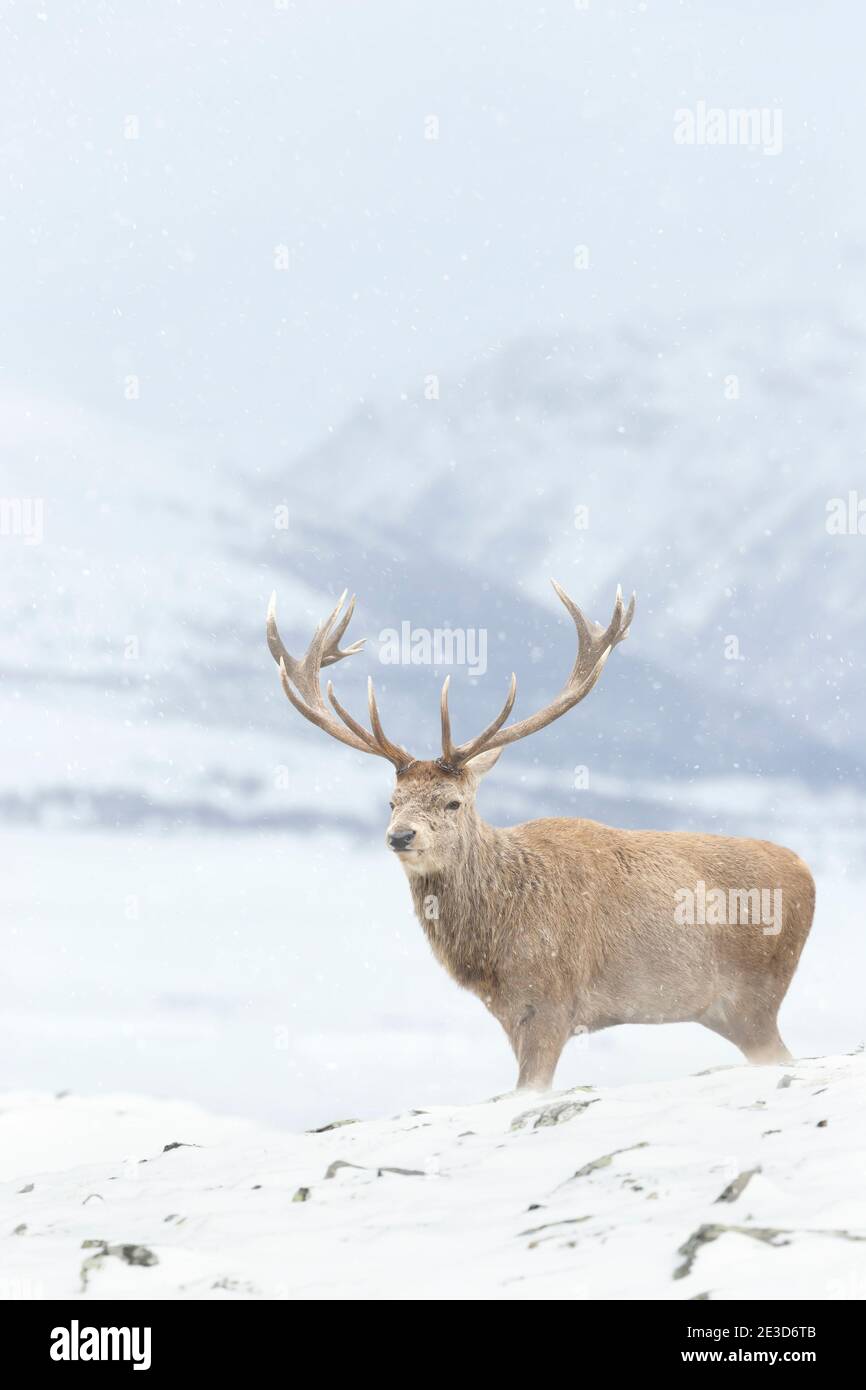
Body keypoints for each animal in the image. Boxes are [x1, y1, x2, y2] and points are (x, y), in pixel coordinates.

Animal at [266, 583, 815, 1091]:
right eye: (392, 800)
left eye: (453, 802)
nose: (400, 836)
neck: (495, 941)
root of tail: (806, 872)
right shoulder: (510, 1011)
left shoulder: (553, 998)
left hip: (757, 994)